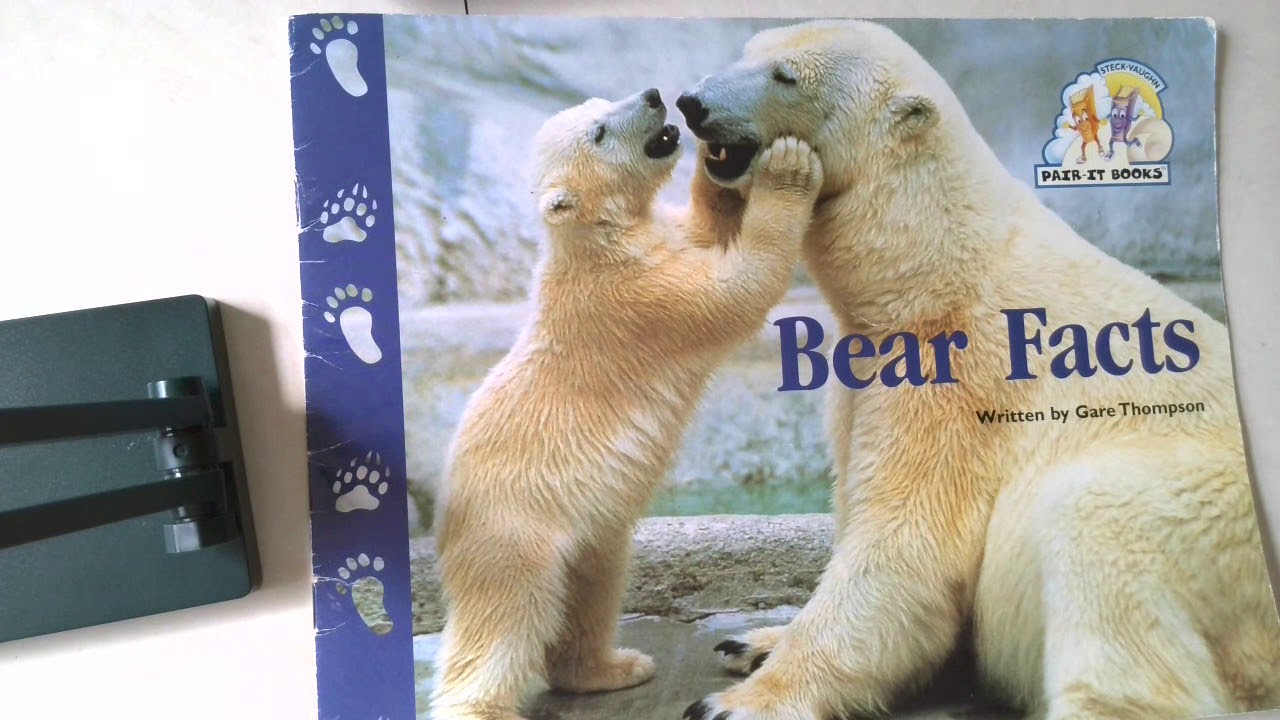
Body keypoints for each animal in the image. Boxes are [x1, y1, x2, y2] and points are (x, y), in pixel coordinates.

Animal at [429, 88, 824, 720]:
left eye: (599, 102)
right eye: (598, 131)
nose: (654, 96)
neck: (600, 237)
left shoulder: (658, 243)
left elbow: (709, 230)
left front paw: (718, 159)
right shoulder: (636, 296)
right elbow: (734, 289)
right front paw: (787, 169)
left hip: (588, 531)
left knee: (593, 589)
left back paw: (614, 668)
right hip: (512, 527)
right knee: (506, 619)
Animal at [675, 20, 1280, 720]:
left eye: (785, 76)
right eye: (746, 53)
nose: (692, 103)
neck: (932, 266)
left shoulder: (959, 380)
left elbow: (907, 544)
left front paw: (738, 702)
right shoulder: (868, 368)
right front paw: (755, 640)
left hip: (1211, 524)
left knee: (1099, 525)